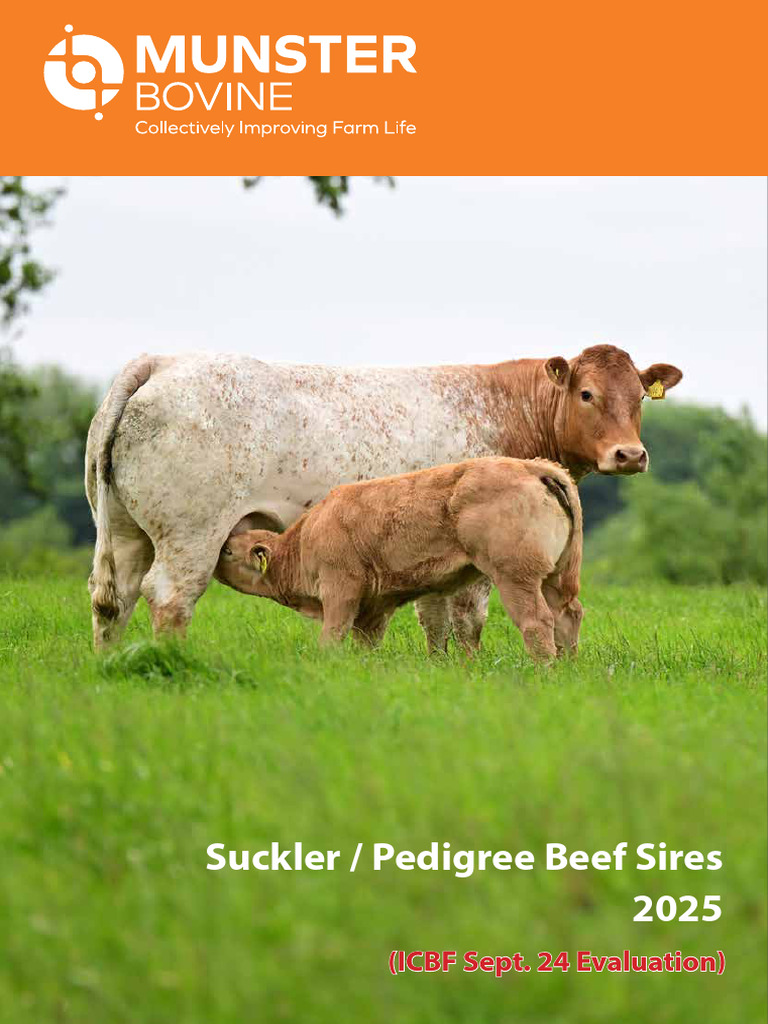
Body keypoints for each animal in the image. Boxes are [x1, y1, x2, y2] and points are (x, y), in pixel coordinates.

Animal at [215, 457, 583, 664]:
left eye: (229, 551)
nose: (216, 552)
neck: (305, 538)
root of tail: (532, 465)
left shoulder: (340, 590)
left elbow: (332, 635)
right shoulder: (374, 607)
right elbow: (366, 644)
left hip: (515, 576)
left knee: (537, 621)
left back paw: (544, 671)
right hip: (556, 579)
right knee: (568, 616)